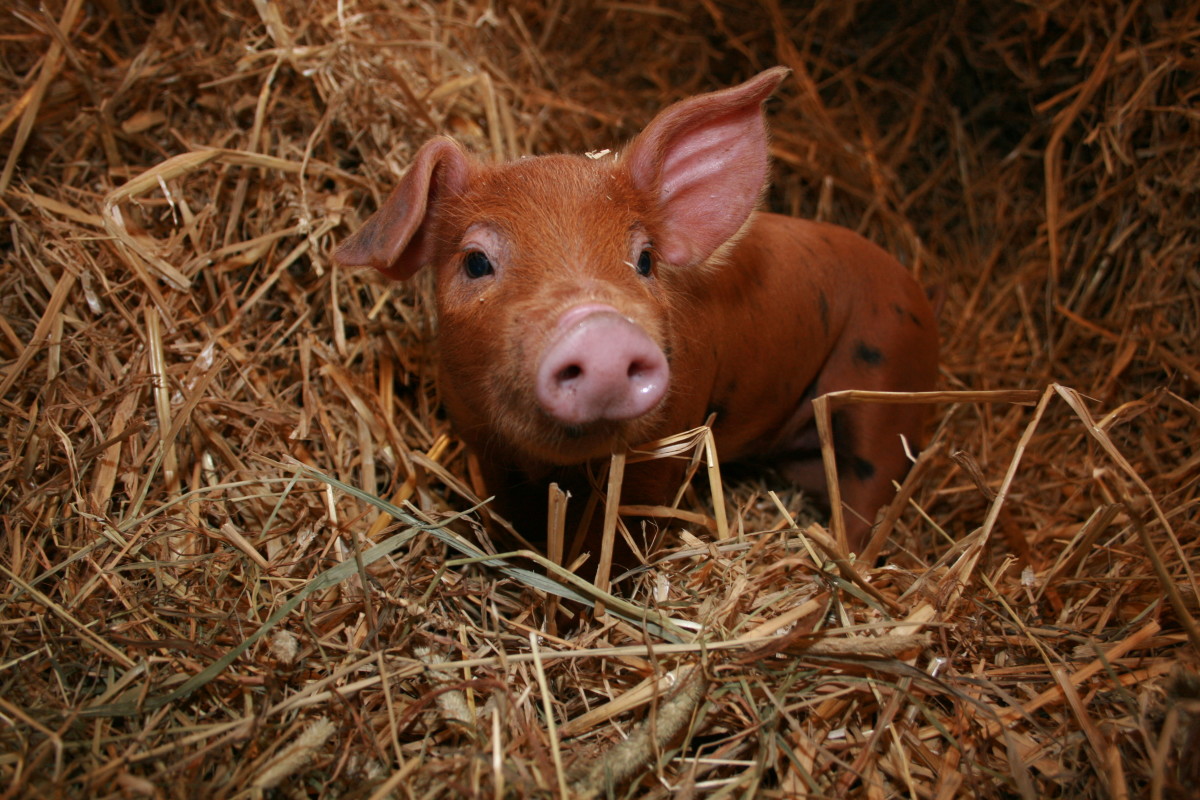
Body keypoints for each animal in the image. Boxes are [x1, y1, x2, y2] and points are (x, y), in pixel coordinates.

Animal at [334, 68, 938, 566]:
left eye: (644, 258)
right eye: (476, 261)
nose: (600, 332)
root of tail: (913, 286)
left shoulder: (670, 440)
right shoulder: (478, 439)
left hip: (887, 391)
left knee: (867, 496)